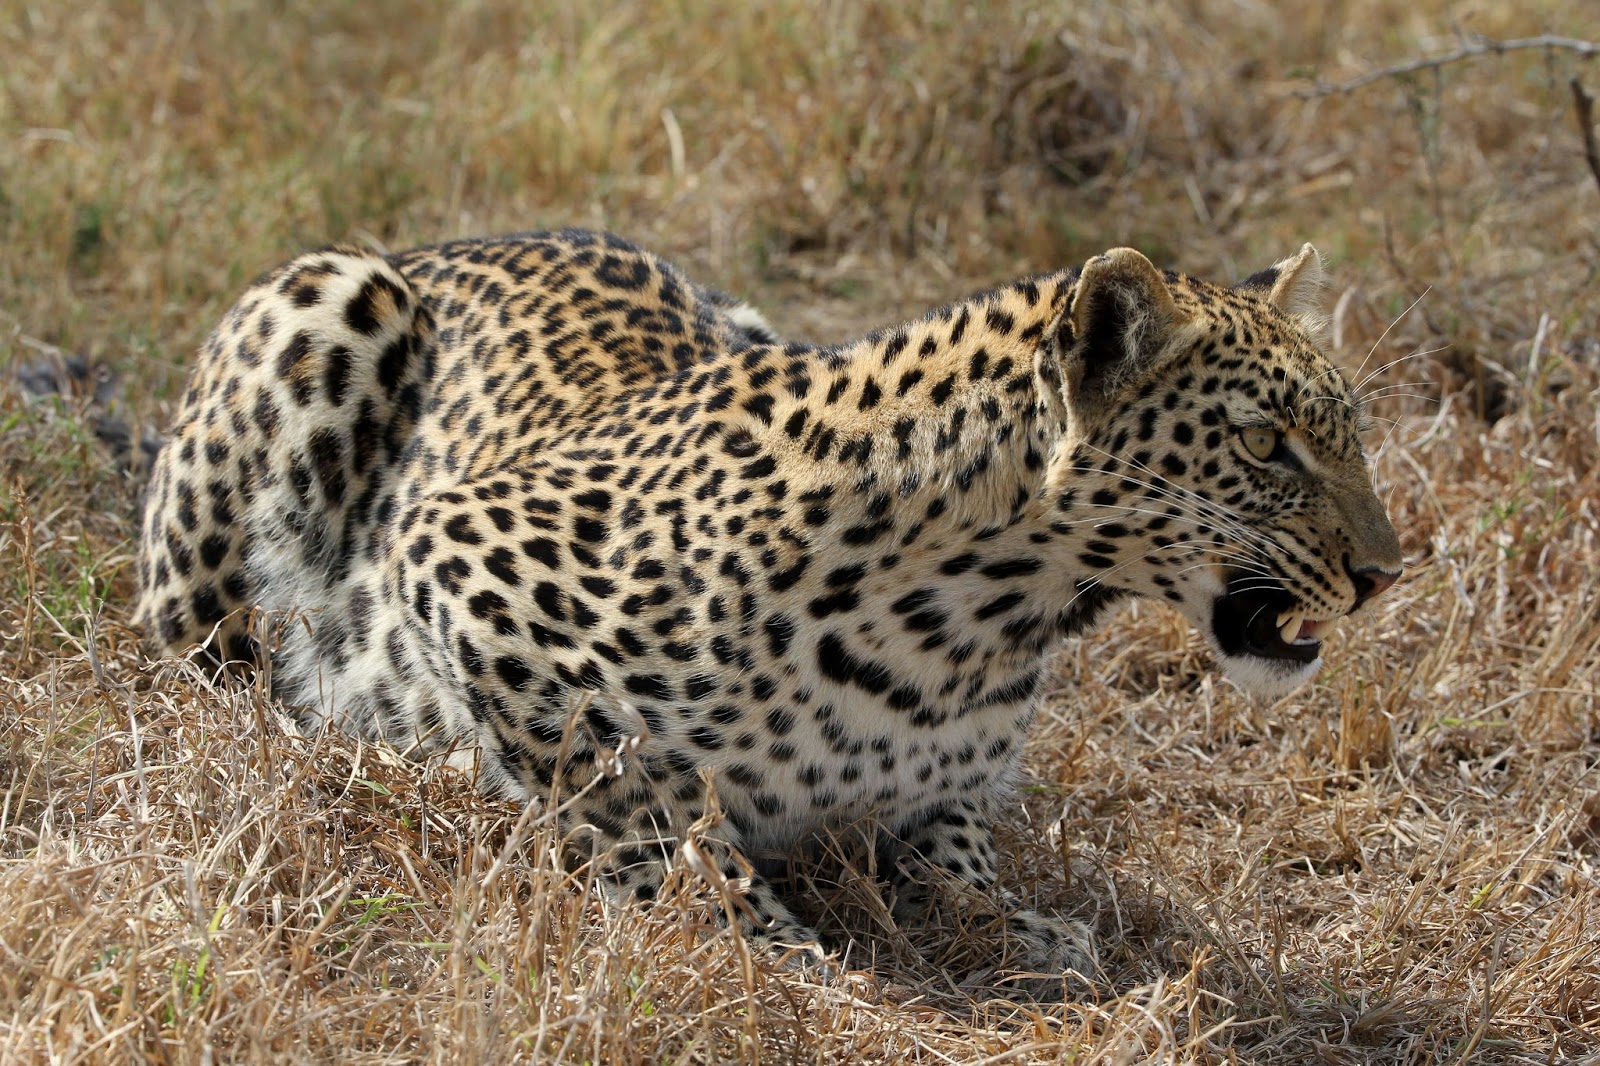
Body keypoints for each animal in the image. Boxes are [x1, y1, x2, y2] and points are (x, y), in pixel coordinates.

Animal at [136, 228, 1403, 980]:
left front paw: (1030, 927)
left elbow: (957, 855)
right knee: (205, 676)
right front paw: (763, 941)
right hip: (325, 308)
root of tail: (443, 241)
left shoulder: (939, 784)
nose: (1386, 571)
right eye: (1264, 445)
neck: (982, 623)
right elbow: (642, 797)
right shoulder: (466, 552)